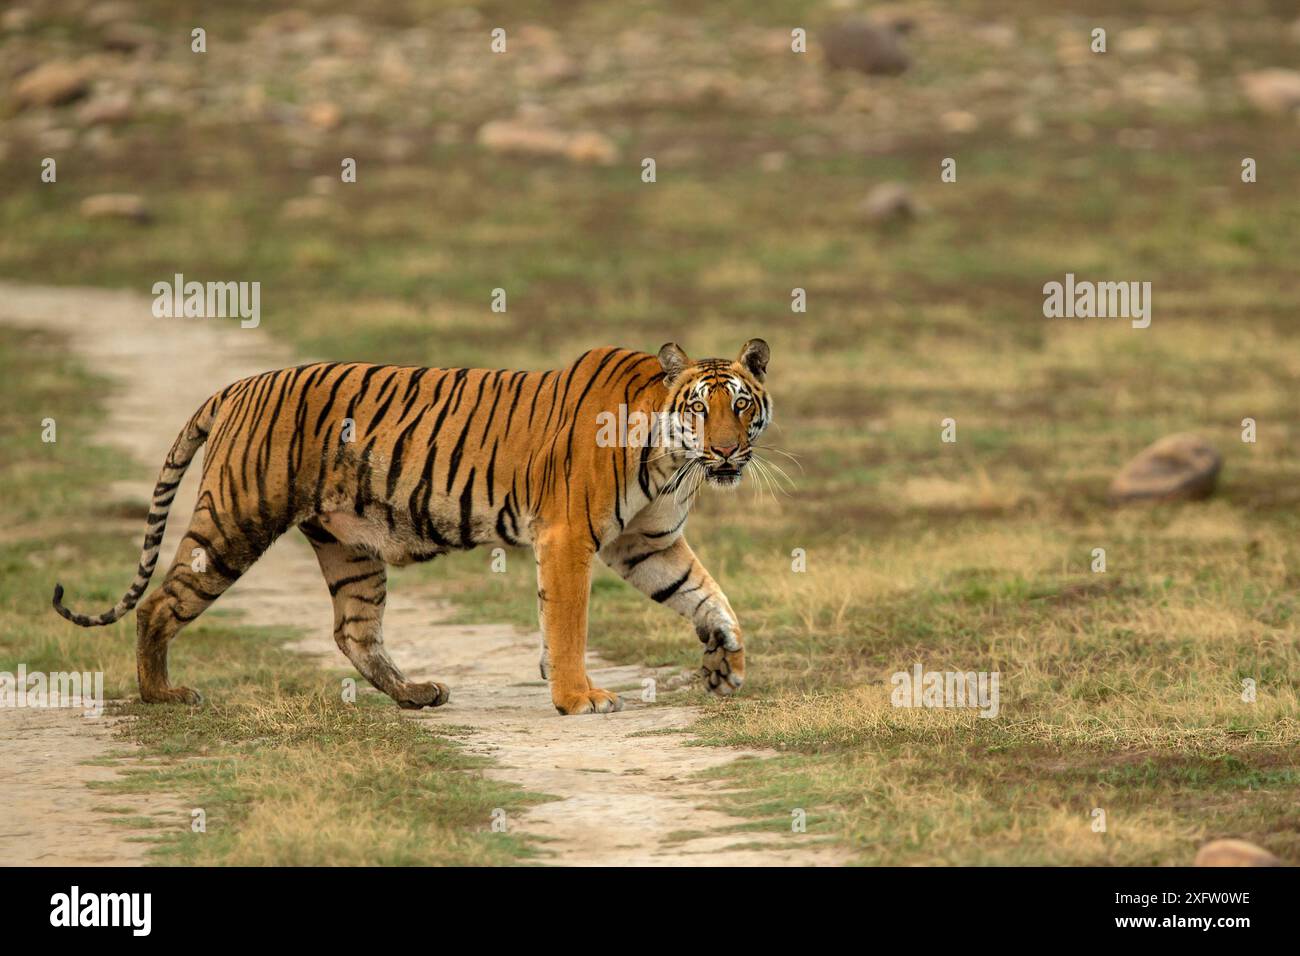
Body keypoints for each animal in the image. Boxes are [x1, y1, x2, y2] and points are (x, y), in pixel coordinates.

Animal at [52, 339, 773, 716]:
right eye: (699, 410)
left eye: (741, 406)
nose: (728, 452)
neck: (672, 460)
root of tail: (236, 387)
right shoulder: (569, 535)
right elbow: (567, 622)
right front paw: (576, 697)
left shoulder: (645, 541)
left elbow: (709, 596)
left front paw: (726, 666)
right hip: (235, 520)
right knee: (160, 603)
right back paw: (162, 694)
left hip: (349, 547)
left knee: (353, 631)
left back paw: (415, 694)